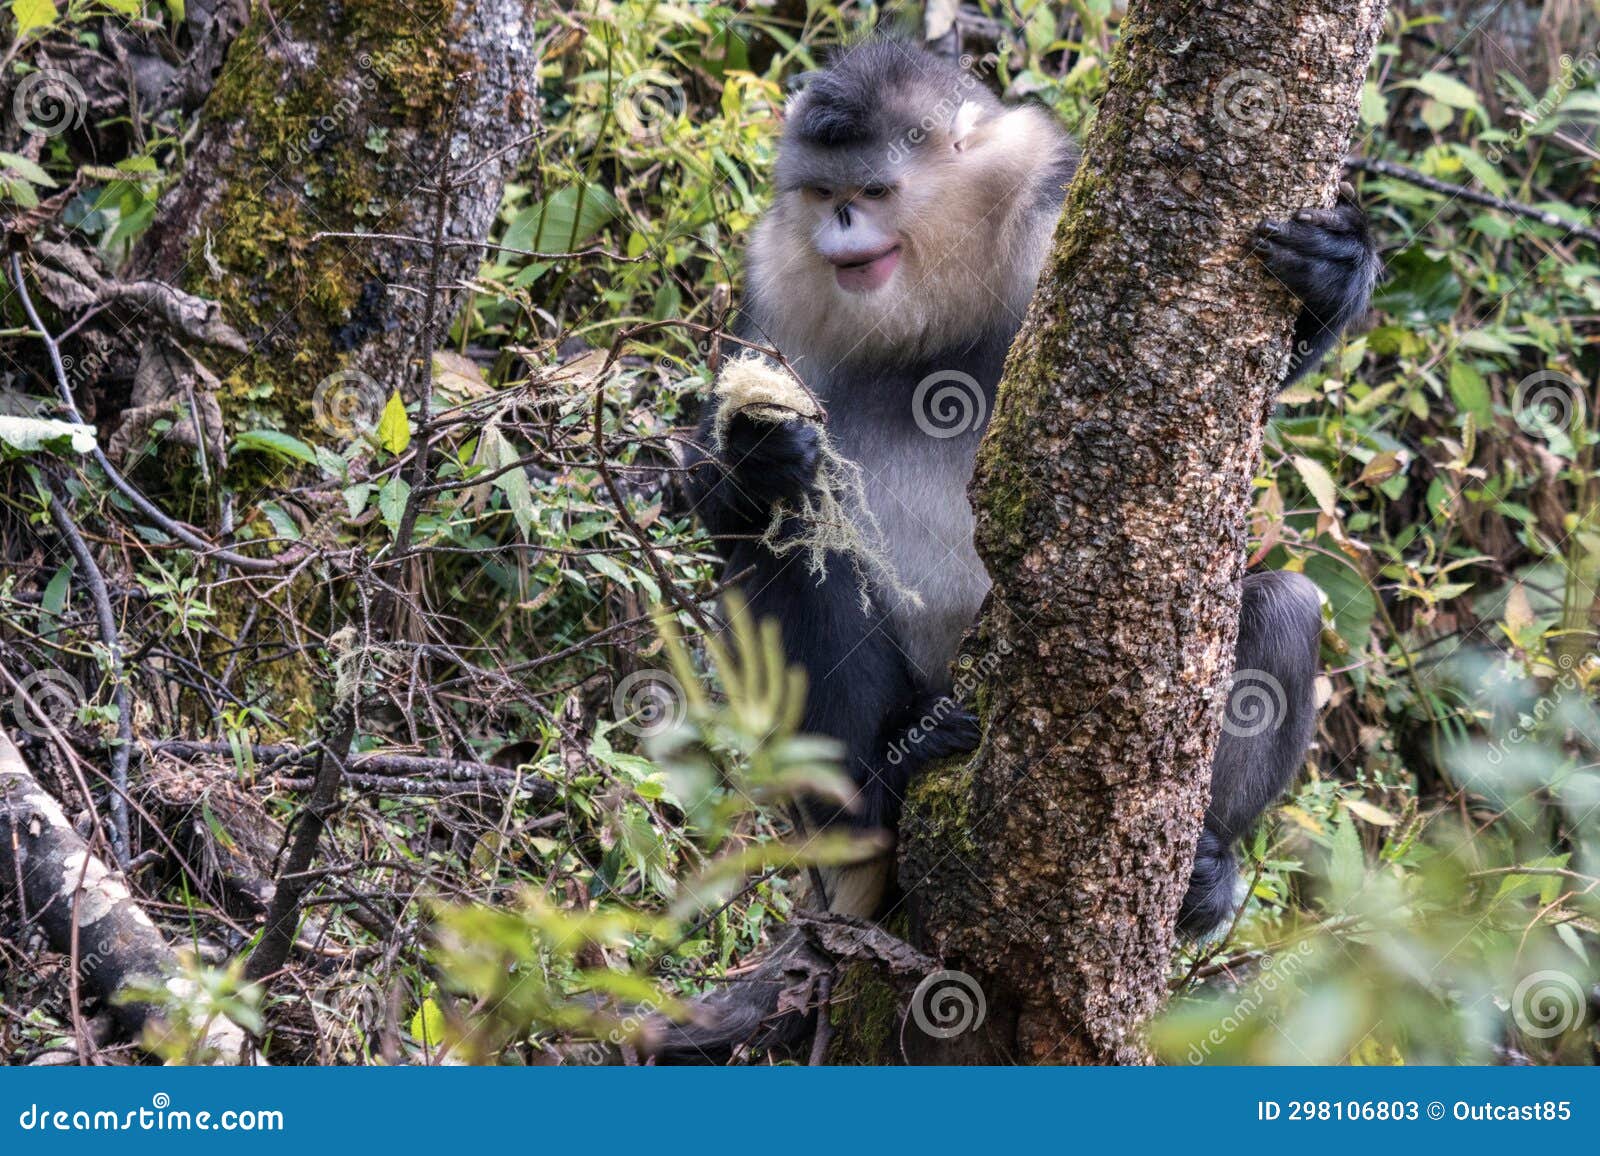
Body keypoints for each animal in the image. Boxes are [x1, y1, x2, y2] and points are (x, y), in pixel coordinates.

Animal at [684, 40, 1380, 937]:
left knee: (1288, 605)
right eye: (822, 194)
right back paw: (882, 790)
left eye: (872, 192)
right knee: (792, 531)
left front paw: (1335, 274)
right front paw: (759, 458)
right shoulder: (777, 285)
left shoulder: (1055, 225)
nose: (840, 227)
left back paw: (1206, 870)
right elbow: (712, 495)